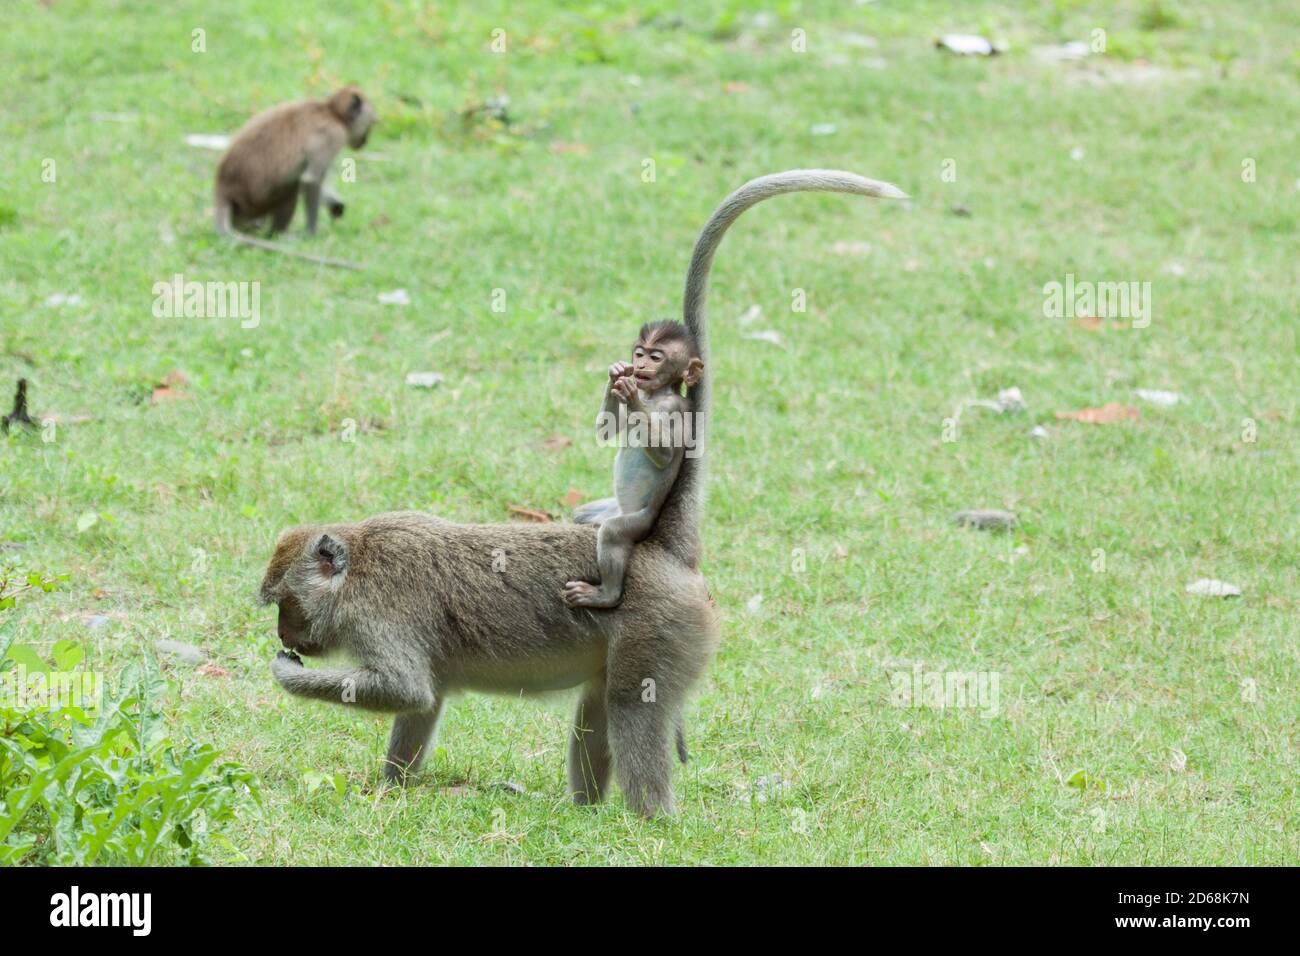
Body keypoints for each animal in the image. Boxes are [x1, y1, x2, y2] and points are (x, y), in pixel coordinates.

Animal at [213, 85, 376, 270]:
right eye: (371, 123)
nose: (365, 140)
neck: (331, 113)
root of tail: (223, 188)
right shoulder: (332, 136)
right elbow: (311, 180)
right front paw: (311, 233)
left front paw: (335, 204)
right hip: (255, 201)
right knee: (292, 189)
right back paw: (276, 234)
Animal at [561, 321, 704, 609]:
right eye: (639, 353)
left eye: (656, 357)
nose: (641, 365)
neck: (654, 395)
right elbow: (606, 430)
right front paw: (615, 375)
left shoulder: (674, 408)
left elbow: (665, 454)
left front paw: (632, 397)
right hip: (609, 510)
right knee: (582, 516)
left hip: (638, 522)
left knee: (612, 534)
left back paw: (606, 596)